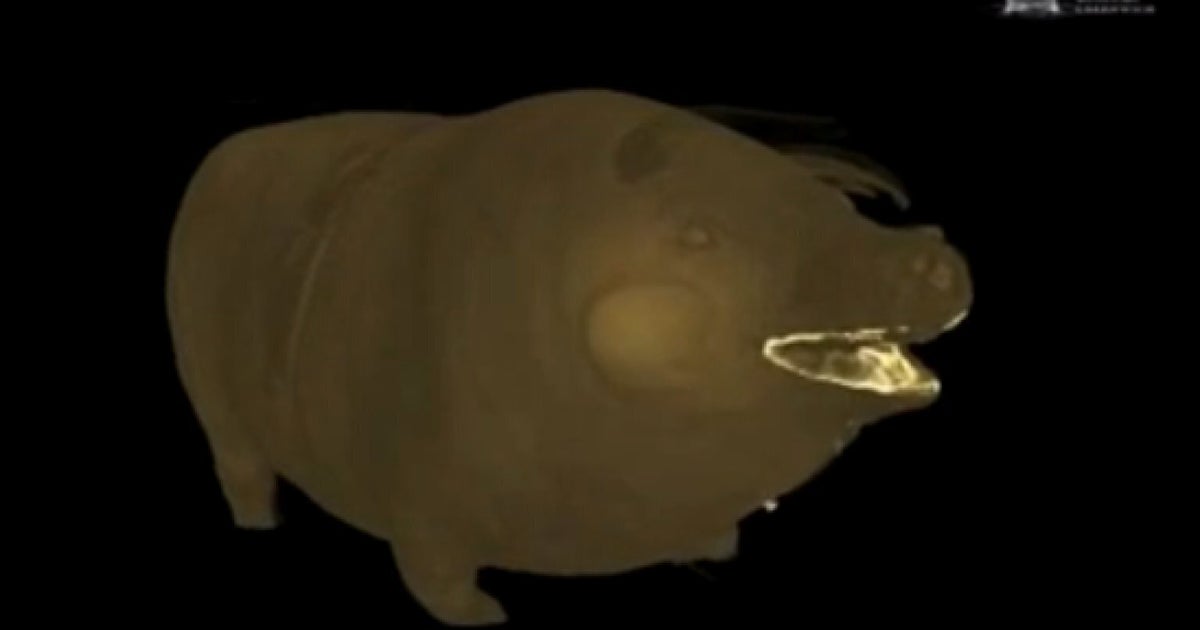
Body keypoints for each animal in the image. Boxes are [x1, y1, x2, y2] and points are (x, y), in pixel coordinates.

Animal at [165, 89, 972, 626]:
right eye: (699, 234)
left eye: (840, 208)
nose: (932, 252)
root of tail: (217, 158)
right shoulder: (418, 487)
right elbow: (436, 571)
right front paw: (485, 616)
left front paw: (717, 551)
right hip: (210, 394)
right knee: (240, 468)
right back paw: (261, 528)